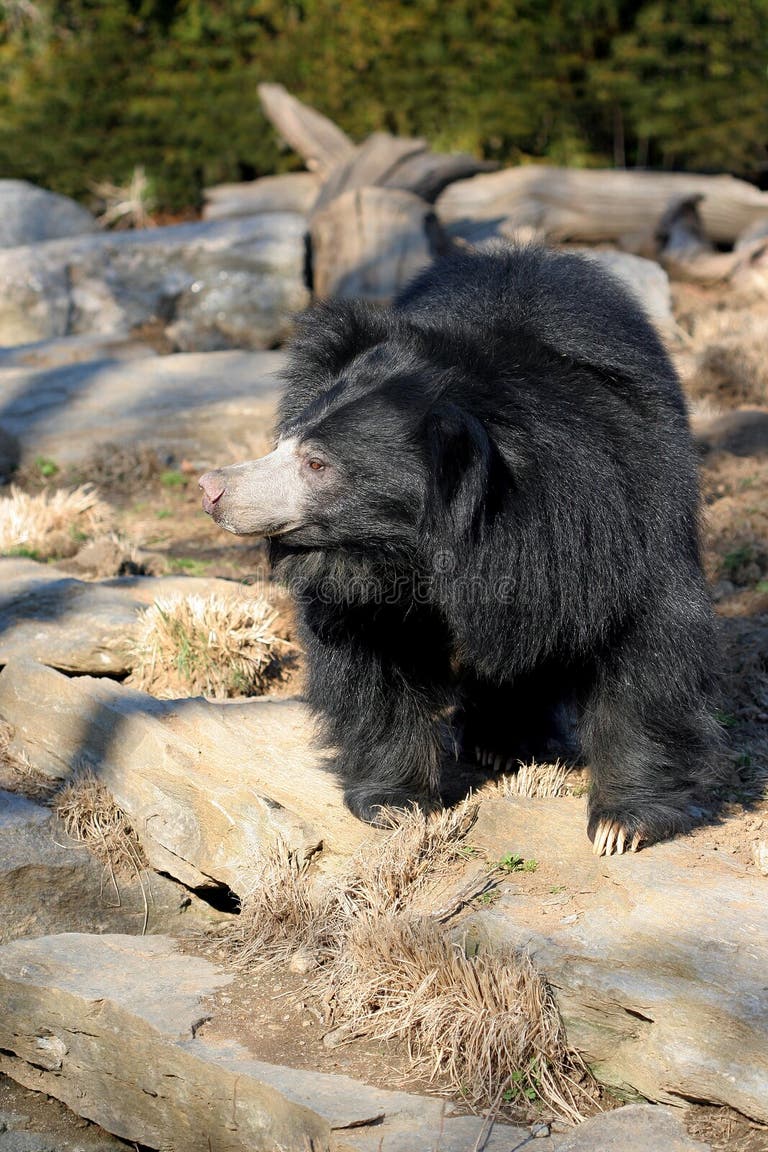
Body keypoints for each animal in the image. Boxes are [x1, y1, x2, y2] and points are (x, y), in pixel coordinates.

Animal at [199, 244, 723, 856]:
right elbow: (372, 661)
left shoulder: (625, 523)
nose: (211, 489)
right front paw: (395, 804)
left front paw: (622, 826)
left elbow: (646, 644)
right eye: (284, 441)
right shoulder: (367, 586)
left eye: (317, 463)